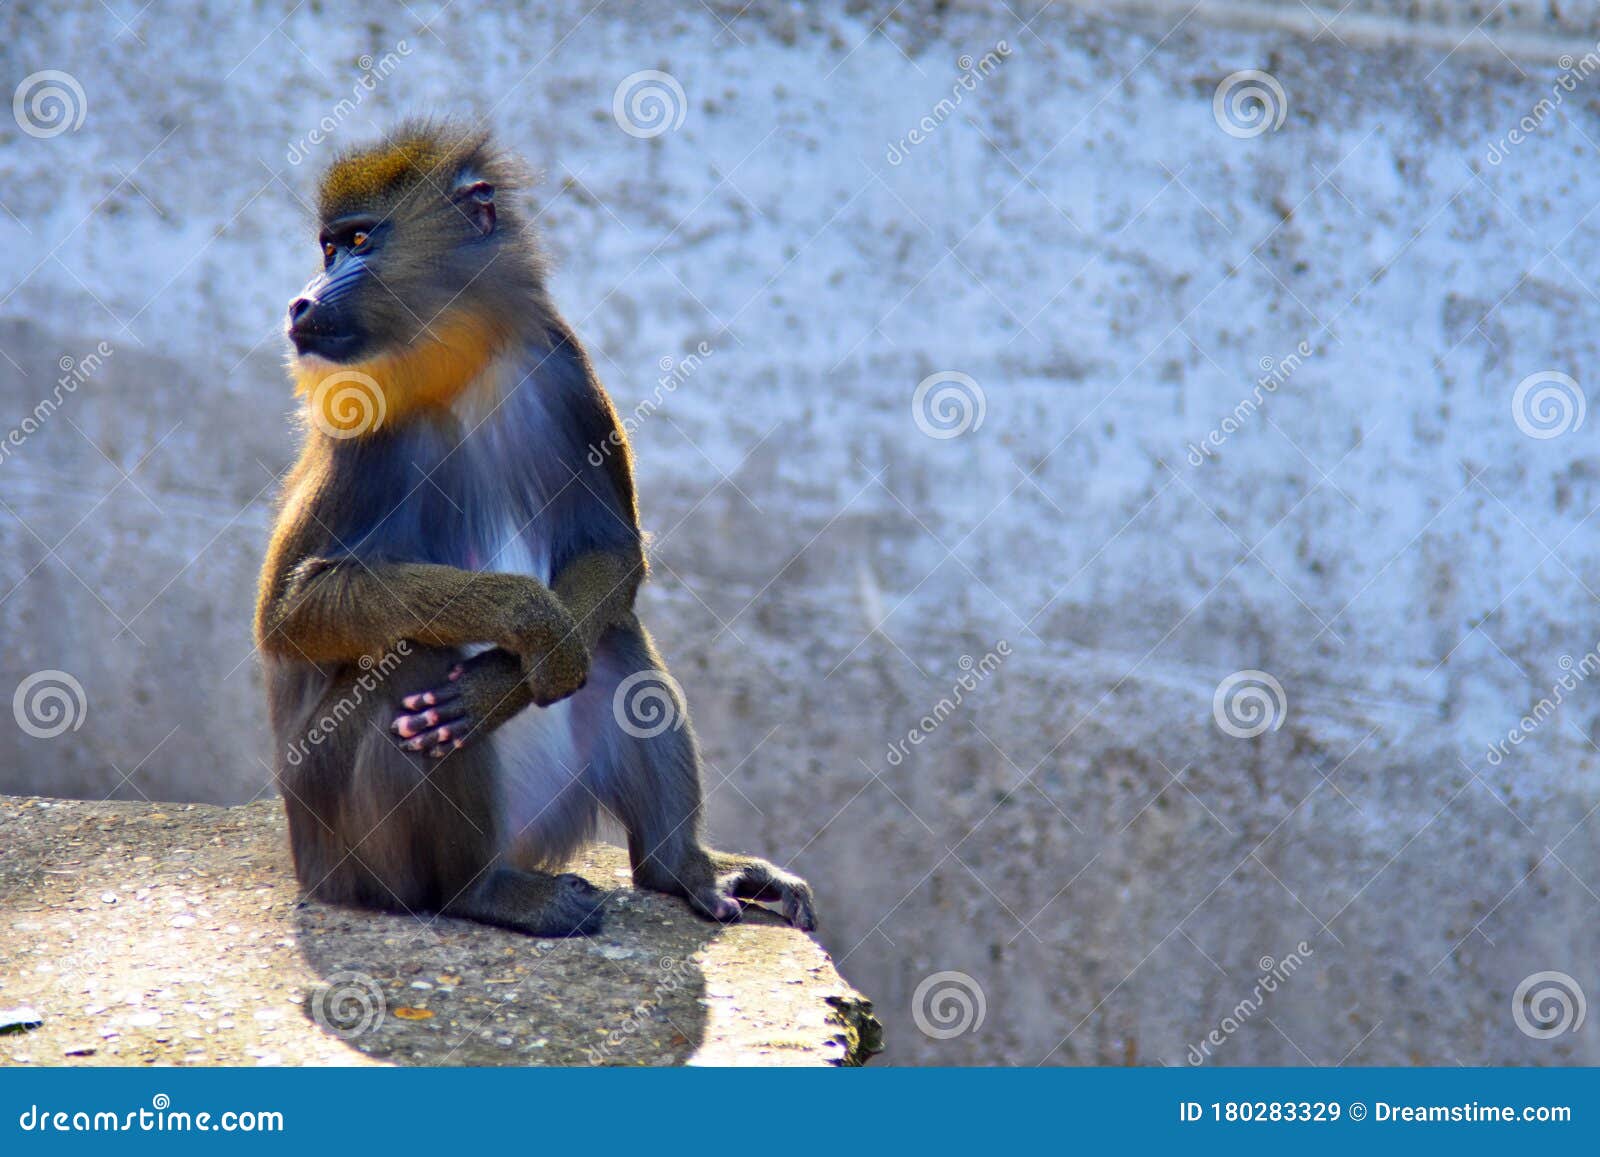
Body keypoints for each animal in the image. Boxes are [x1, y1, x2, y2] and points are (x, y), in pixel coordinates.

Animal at [254, 120, 815, 938]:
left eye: (356, 241)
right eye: (330, 248)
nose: (302, 302)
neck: (461, 358)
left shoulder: (563, 369)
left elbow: (611, 552)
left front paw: (497, 685)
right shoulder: (360, 431)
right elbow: (290, 612)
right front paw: (524, 619)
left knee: (612, 637)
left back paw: (681, 867)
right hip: (346, 850)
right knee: (411, 665)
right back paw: (483, 893)